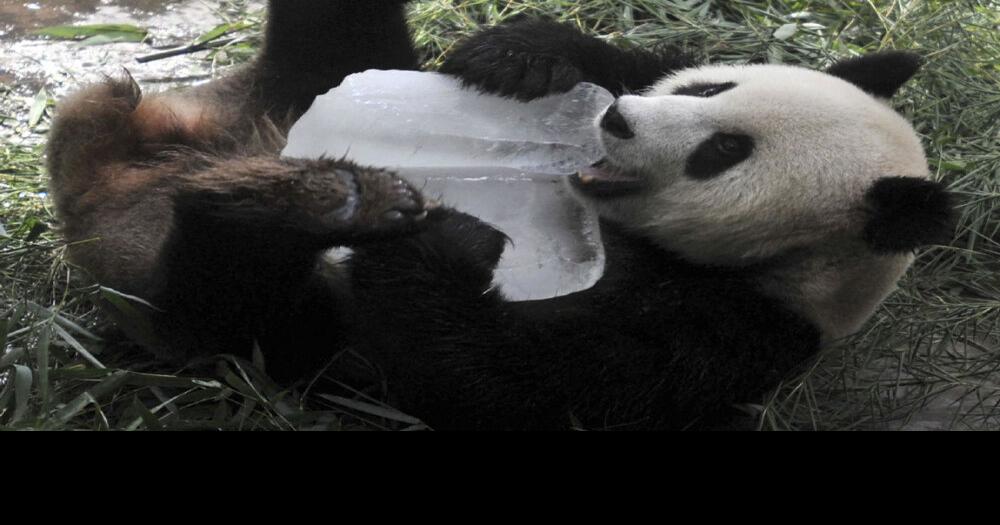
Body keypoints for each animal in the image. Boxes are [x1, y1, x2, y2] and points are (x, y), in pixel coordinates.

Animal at [47, 6, 954, 430]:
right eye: (709, 90)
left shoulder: (724, 334)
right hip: (315, 75)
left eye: (722, 152)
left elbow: (489, 381)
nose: (617, 122)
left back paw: (315, 201)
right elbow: (622, 51)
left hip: (250, 340)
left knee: (221, 306)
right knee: (334, 30)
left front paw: (455, 236)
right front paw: (521, 57)